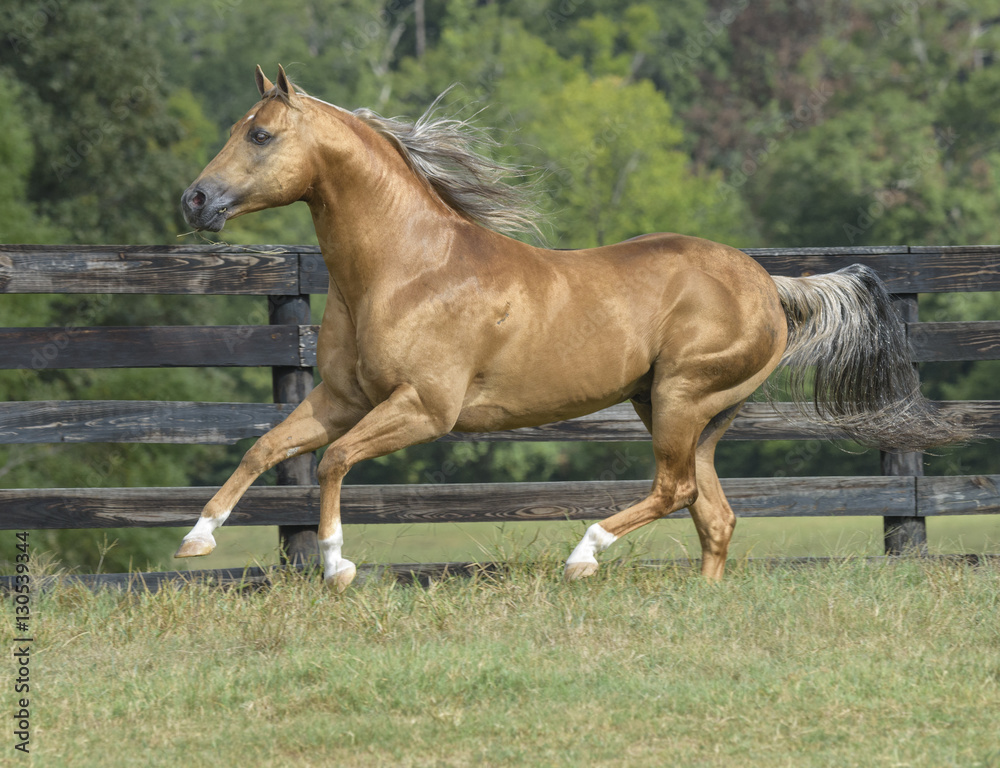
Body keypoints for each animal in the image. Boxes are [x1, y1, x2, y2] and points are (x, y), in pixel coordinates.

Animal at [177, 66, 968, 590]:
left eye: (260, 134)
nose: (195, 201)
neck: (410, 268)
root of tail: (770, 287)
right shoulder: (343, 397)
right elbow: (266, 447)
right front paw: (196, 539)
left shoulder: (425, 409)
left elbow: (335, 460)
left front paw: (337, 564)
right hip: (685, 411)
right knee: (712, 511)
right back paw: (702, 598)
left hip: (681, 399)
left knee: (675, 491)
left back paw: (583, 555)